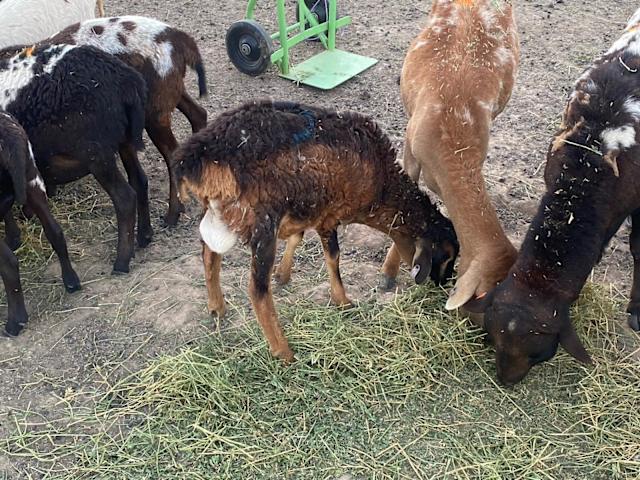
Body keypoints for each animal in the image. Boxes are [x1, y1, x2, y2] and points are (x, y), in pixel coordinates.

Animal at [0, 15, 208, 226]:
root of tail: (178, 39)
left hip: (154, 112)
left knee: (171, 153)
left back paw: (173, 213)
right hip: (168, 94)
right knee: (198, 114)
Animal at [0, 44, 149, 274]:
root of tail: (126, 79)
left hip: (96, 153)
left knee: (124, 198)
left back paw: (121, 261)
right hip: (124, 140)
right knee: (140, 180)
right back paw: (144, 236)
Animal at [0, 112, 81, 336]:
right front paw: (14, 238)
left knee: (9, 264)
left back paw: (15, 323)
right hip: (32, 181)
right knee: (55, 232)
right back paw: (71, 281)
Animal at [175, 100, 459, 362]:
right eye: (446, 256)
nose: (444, 283)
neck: (381, 185)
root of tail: (196, 158)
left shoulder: (306, 210)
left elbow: (298, 237)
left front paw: (284, 274)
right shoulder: (329, 216)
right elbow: (333, 257)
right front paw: (342, 301)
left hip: (219, 213)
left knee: (209, 254)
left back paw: (217, 307)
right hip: (262, 223)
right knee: (257, 290)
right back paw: (284, 352)